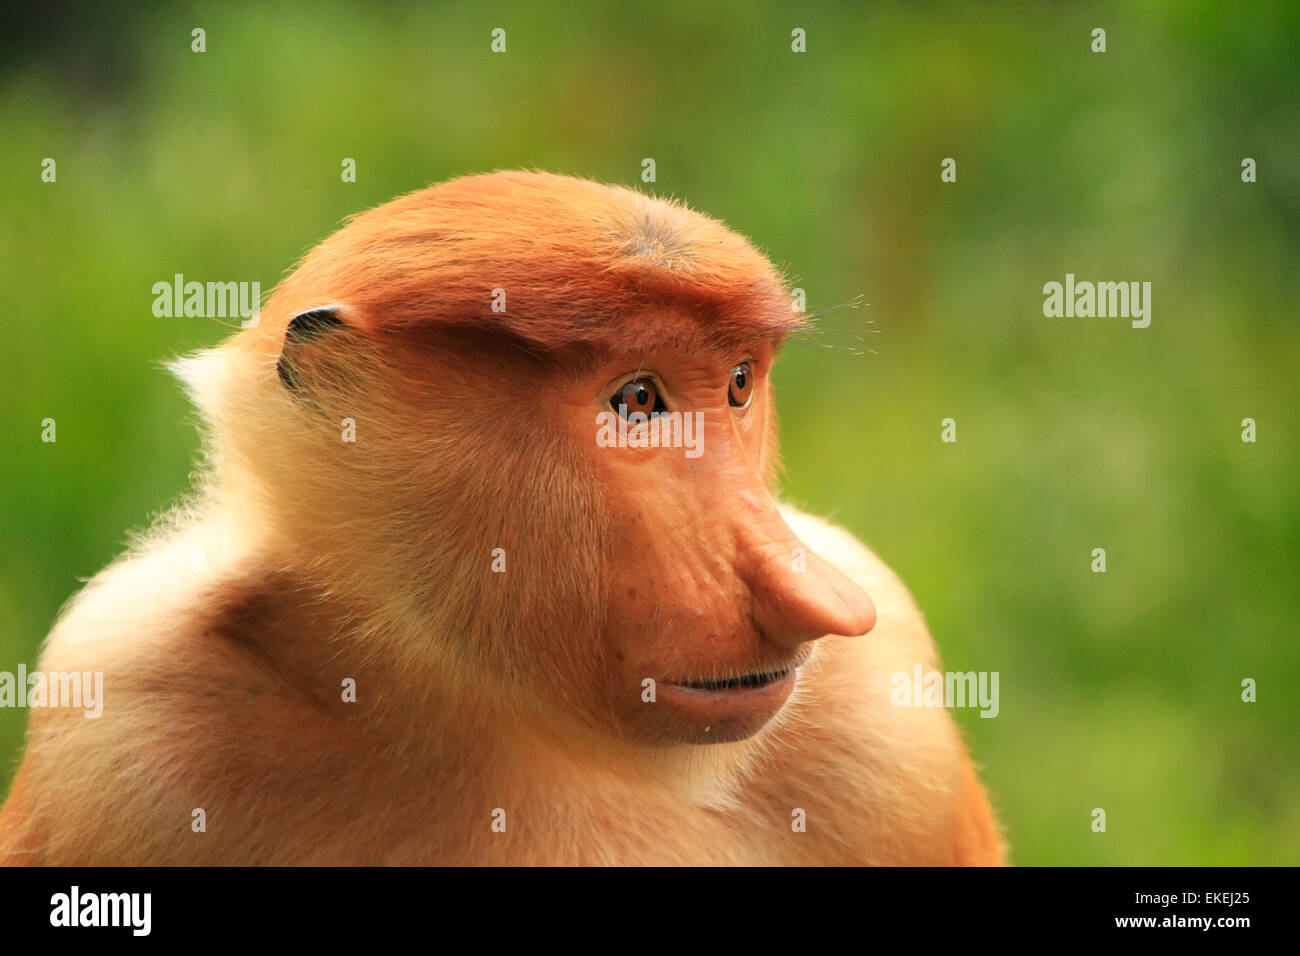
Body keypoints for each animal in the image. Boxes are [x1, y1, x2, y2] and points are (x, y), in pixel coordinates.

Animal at [0, 170, 1005, 865]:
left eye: (737, 385)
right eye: (638, 401)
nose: (814, 598)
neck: (482, 709)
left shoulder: (887, 717)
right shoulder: (119, 725)